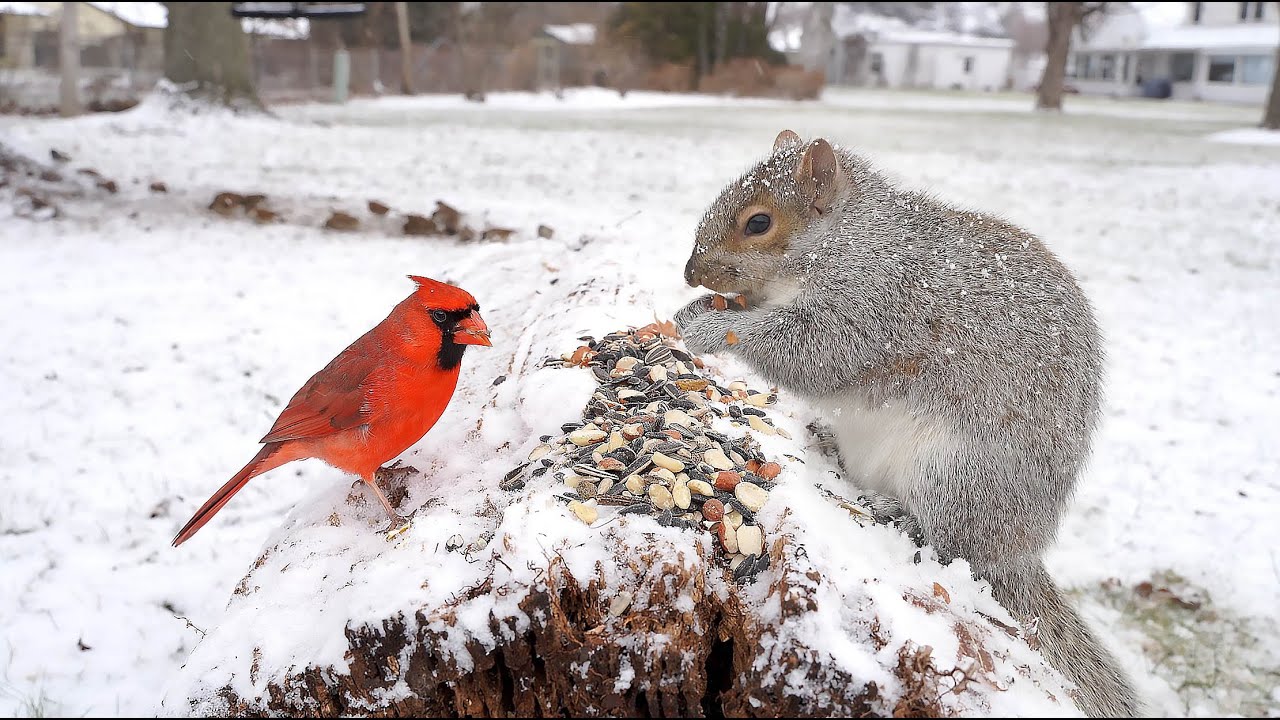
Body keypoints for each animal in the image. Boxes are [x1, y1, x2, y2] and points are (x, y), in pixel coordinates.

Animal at [674, 129, 1140, 718]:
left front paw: (707, 324)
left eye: (759, 222)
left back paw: (899, 515)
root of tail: (1017, 550)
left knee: (951, 541)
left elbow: (812, 352)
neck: (851, 237)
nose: (691, 273)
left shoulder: (876, 305)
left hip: (955, 473)